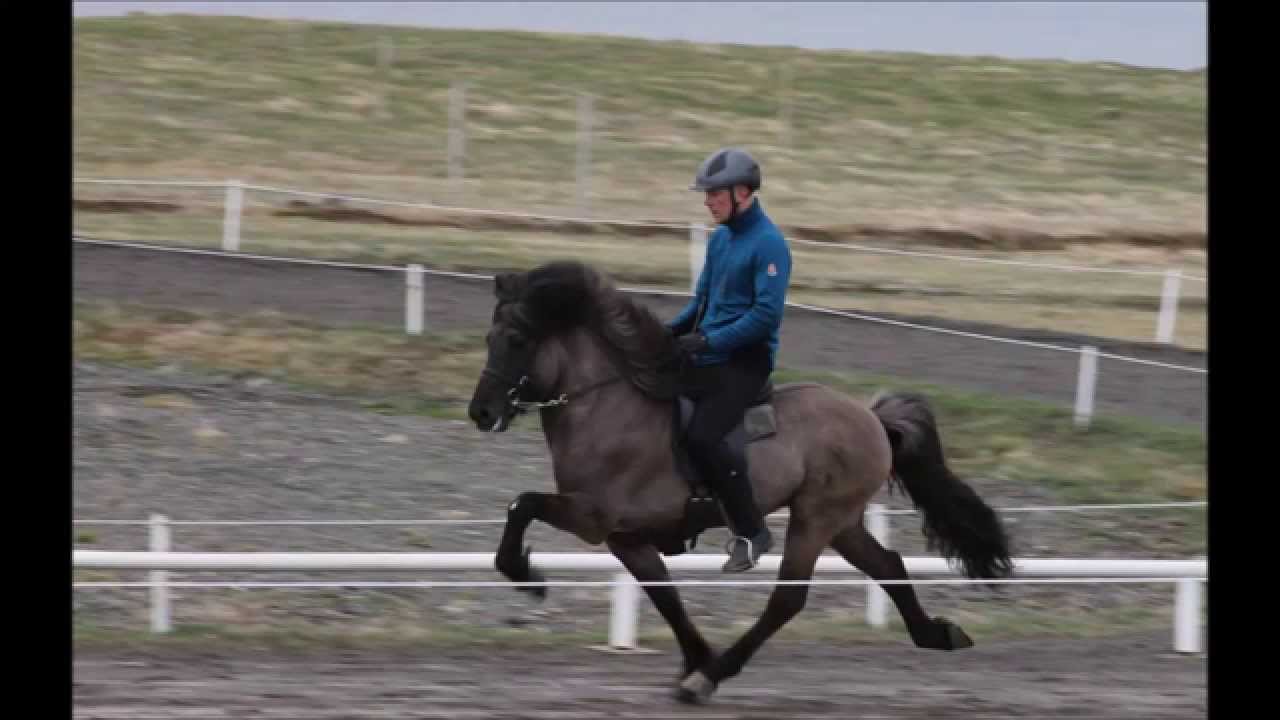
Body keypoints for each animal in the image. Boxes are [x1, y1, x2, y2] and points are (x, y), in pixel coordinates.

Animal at [466, 259, 1013, 704]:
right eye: (489, 339)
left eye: (516, 340)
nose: (481, 413)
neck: (606, 405)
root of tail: (873, 418)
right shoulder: (627, 537)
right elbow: (665, 596)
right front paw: (696, 658)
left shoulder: (592, 516)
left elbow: (522, 504)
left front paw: (527, 575)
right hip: (841, 522)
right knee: (888, 565)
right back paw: (937, 635)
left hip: (815, 518)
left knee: (788, 598)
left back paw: (715, 676)